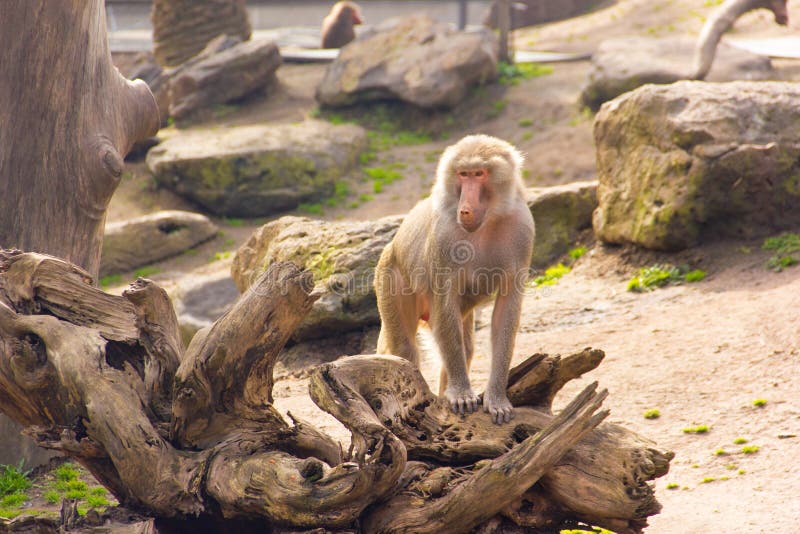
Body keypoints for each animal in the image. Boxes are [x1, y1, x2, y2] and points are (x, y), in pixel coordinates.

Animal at [374, 135, 534, 424]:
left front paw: (496, 398)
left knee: (465, 346)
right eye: (463, 174)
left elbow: (505, 313)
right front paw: (461, 394)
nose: (466, 210)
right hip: (389, 277)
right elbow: (445, 304)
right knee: (405, 351)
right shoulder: (444, 236)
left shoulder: (522, 230)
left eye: (479, 174)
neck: (487, 222)